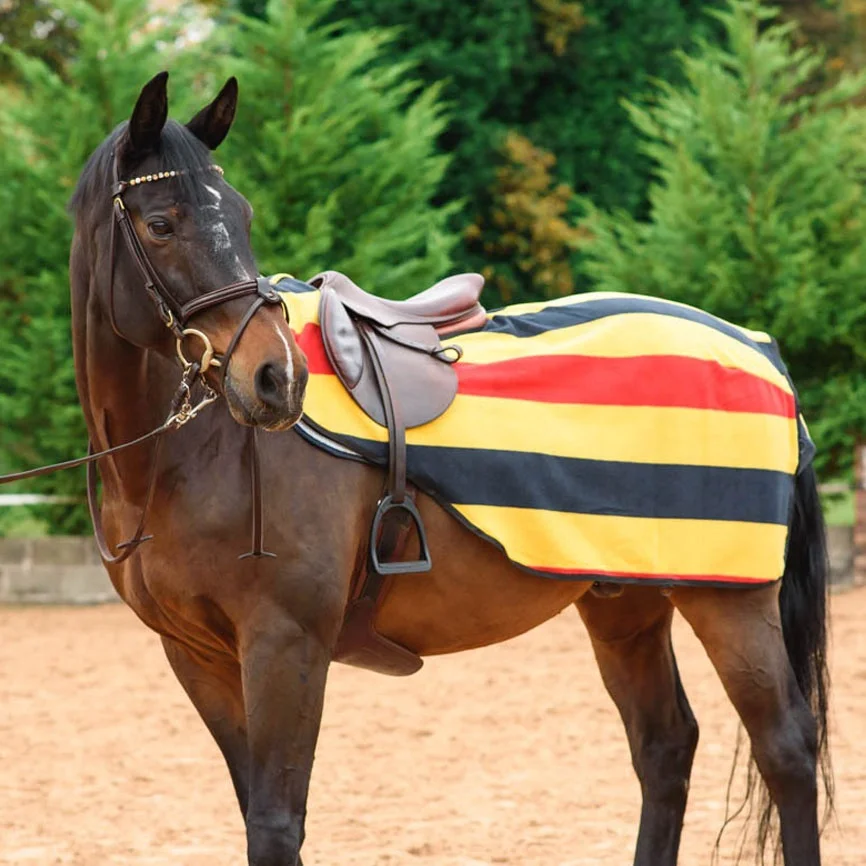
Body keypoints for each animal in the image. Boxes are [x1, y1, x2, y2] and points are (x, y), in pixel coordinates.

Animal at [65, 71, 831, 866]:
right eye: (161, 224)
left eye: (241, 217)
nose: (277, 379)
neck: (182, 460)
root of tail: (755, 345)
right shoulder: (197, 656)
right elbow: (255, 814)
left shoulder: (285, 642)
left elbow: (276, 826)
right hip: (625, 604)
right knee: (664, 746)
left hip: (730, 601)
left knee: (785, 749)